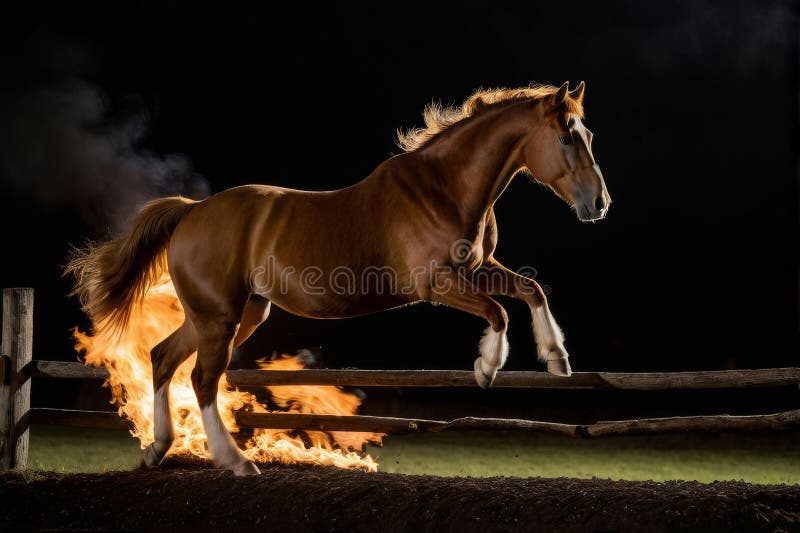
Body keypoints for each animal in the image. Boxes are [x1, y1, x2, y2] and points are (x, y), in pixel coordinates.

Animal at [67, 81, 610, 475]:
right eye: (566, 136)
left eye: (589, 135)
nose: (599, 204)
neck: (443, 188)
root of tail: (191, 211)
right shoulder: (437, 284)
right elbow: (498, 313)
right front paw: (486, 368)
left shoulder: (478, 269)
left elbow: (530, 290)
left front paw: (558, 359)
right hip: (219, 318)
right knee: (202, 379)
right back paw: (235, 462)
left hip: (230, 315)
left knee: (163, 359)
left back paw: (157, 450)